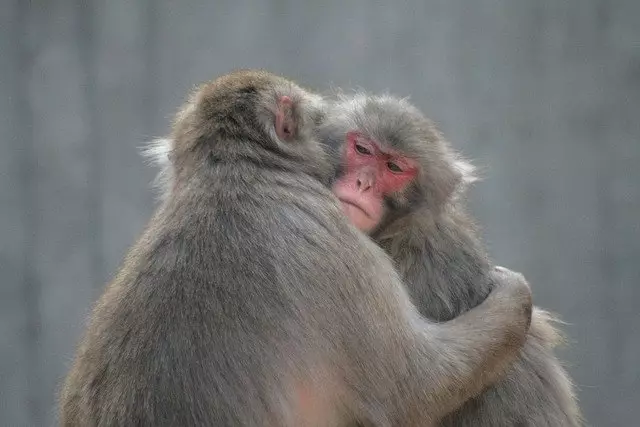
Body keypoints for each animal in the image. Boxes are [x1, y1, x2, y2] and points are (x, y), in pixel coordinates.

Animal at [60, 71, 532, 427]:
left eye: (393, 167)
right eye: (361, 150)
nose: (363, 182)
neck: (237, 168)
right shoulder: (335, 243)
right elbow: (412, 389)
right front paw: (516, 297)